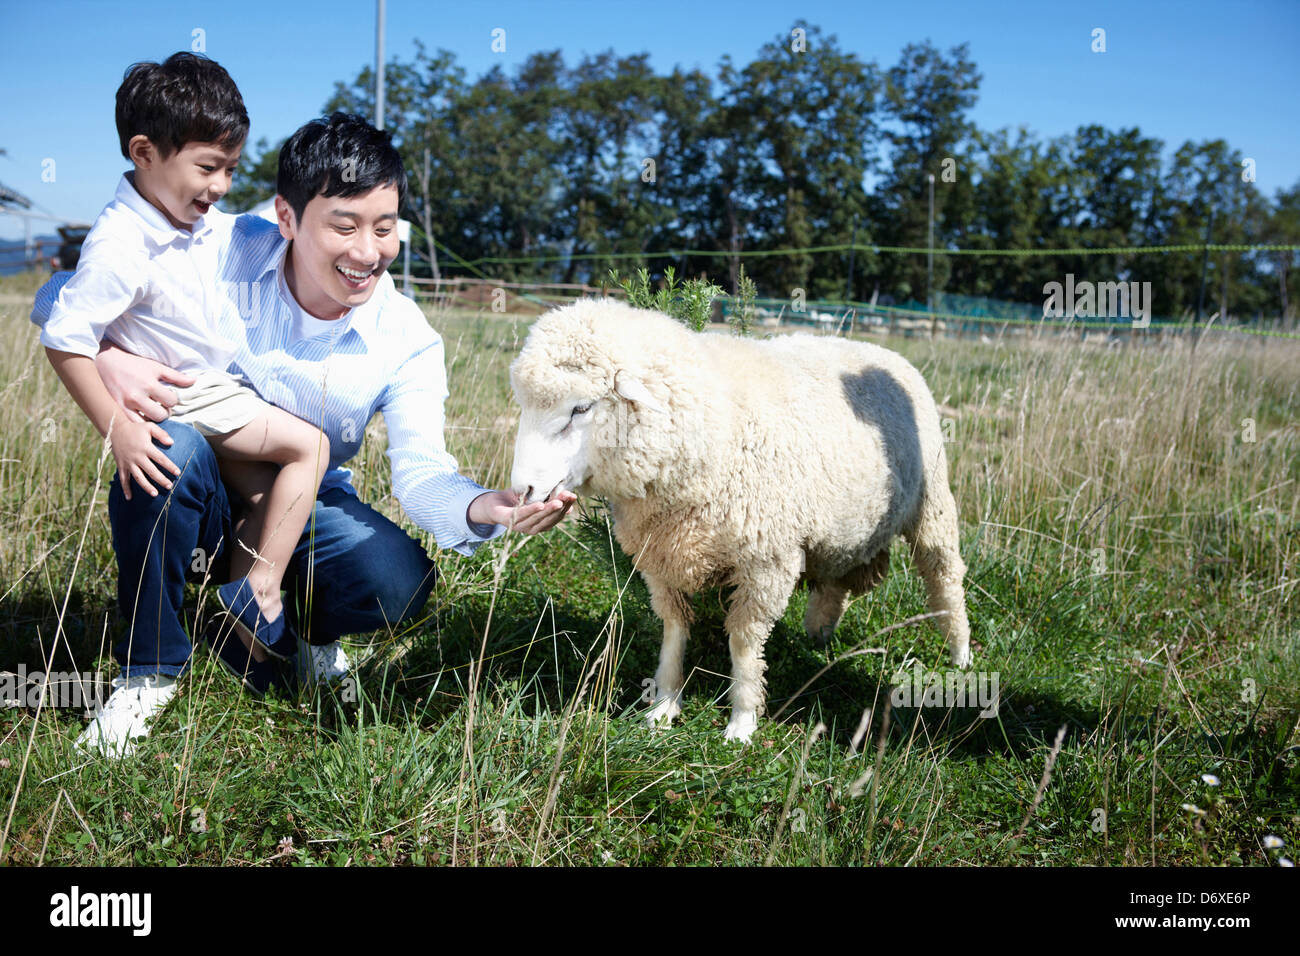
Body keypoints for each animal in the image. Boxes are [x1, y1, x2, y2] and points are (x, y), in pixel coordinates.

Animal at [509, 298, 971, 743]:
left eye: (580, 408)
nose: (522, 491)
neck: (709, 427)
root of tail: (882, 351)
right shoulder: (662, 555)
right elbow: (674, 629)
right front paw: (664, 705)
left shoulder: (766, 560)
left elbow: (745, 641)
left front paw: (742, 721)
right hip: (843, 527)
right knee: (835, 578)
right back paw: (820, 634)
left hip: (932, 505)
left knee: (945, 576)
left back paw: (961, 654)